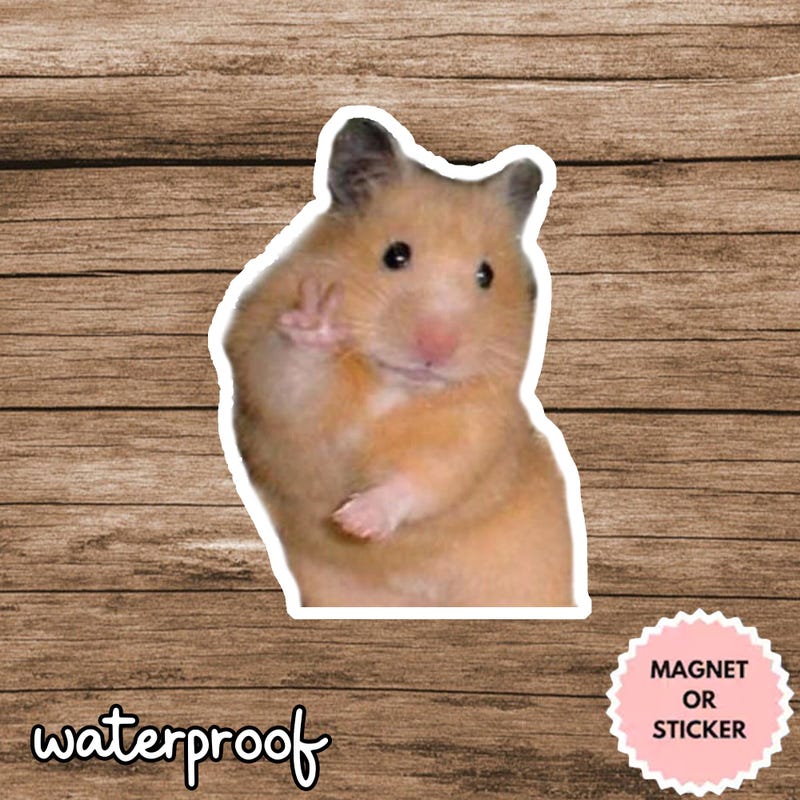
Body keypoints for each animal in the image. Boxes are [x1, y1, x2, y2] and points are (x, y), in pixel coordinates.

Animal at [224, 118, 574, 607]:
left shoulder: (476, 432)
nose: (435, 350)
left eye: (486, 275)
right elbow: (293, 378)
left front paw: (355, 522)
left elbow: (425, 479)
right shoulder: (268, 382)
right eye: (395, 255)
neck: (393, 387)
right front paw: (317, 320)